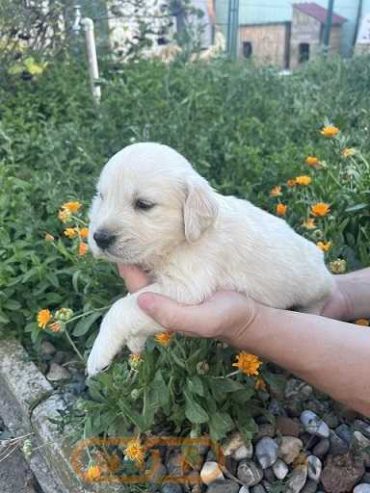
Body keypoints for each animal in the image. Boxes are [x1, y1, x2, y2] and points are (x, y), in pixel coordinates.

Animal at [86, 141, 332, 372]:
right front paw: (135, 344)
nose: (100, 238)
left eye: (143, 204)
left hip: (315, 287)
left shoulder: (187, 287)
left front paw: (98, 355)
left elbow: (122, 308)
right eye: (101, 196)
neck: (183, 240)